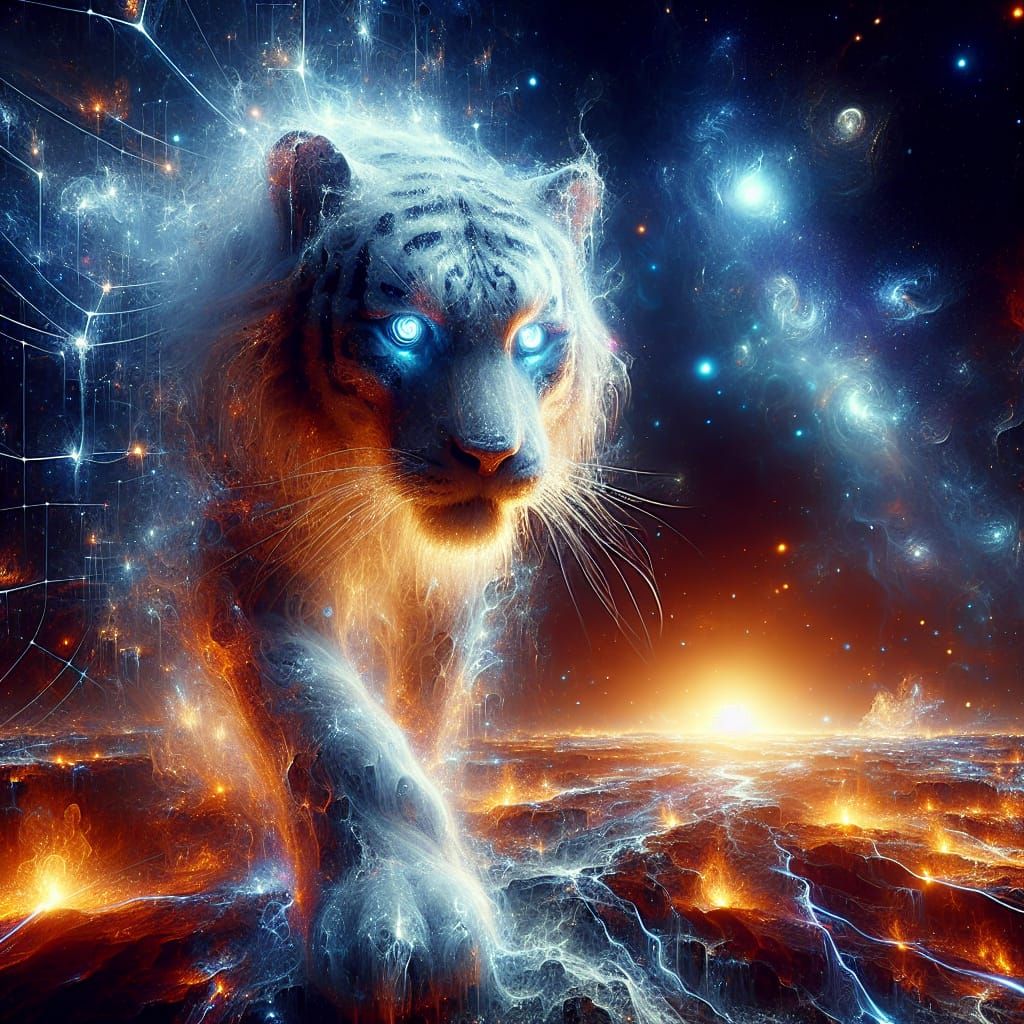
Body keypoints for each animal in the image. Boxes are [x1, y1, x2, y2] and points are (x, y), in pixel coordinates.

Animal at [178, 121, 627, 1017]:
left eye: (532, 337)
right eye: (409, 332)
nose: (490, 456)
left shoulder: (446, 601)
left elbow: (419, 713)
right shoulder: (250, 565)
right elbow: (338, 733)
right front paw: (403, 920)